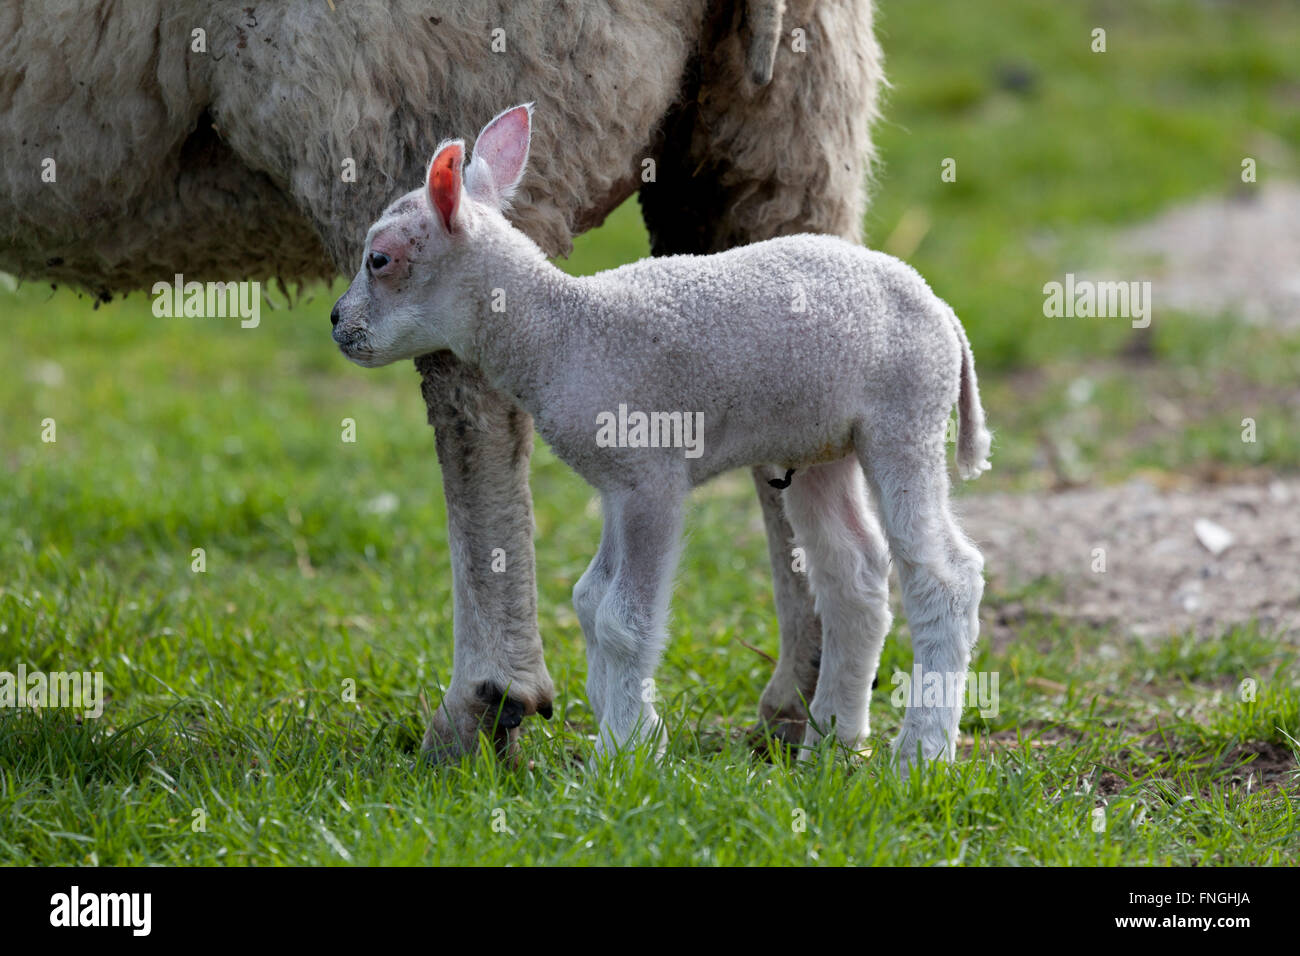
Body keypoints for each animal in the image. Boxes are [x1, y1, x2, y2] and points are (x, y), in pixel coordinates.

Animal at [0, 0, 884, 760]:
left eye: (380, 261)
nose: (336, 322)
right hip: (782, 121)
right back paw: (804, 701)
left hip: (408, 76)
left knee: (474, 404)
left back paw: (484, 700)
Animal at [332, 105, 991, 768]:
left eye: (379, 259)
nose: (338, 323)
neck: (561, 332)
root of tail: (944, 313)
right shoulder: (613, 482)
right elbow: (590, 600)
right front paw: (628, 734)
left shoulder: (651, 476)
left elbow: (622, 619)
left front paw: (623, 753)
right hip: (820, 442)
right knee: (853, 577)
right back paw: (830, 745)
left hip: (905, 416)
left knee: (945, 577)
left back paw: (921, 753)